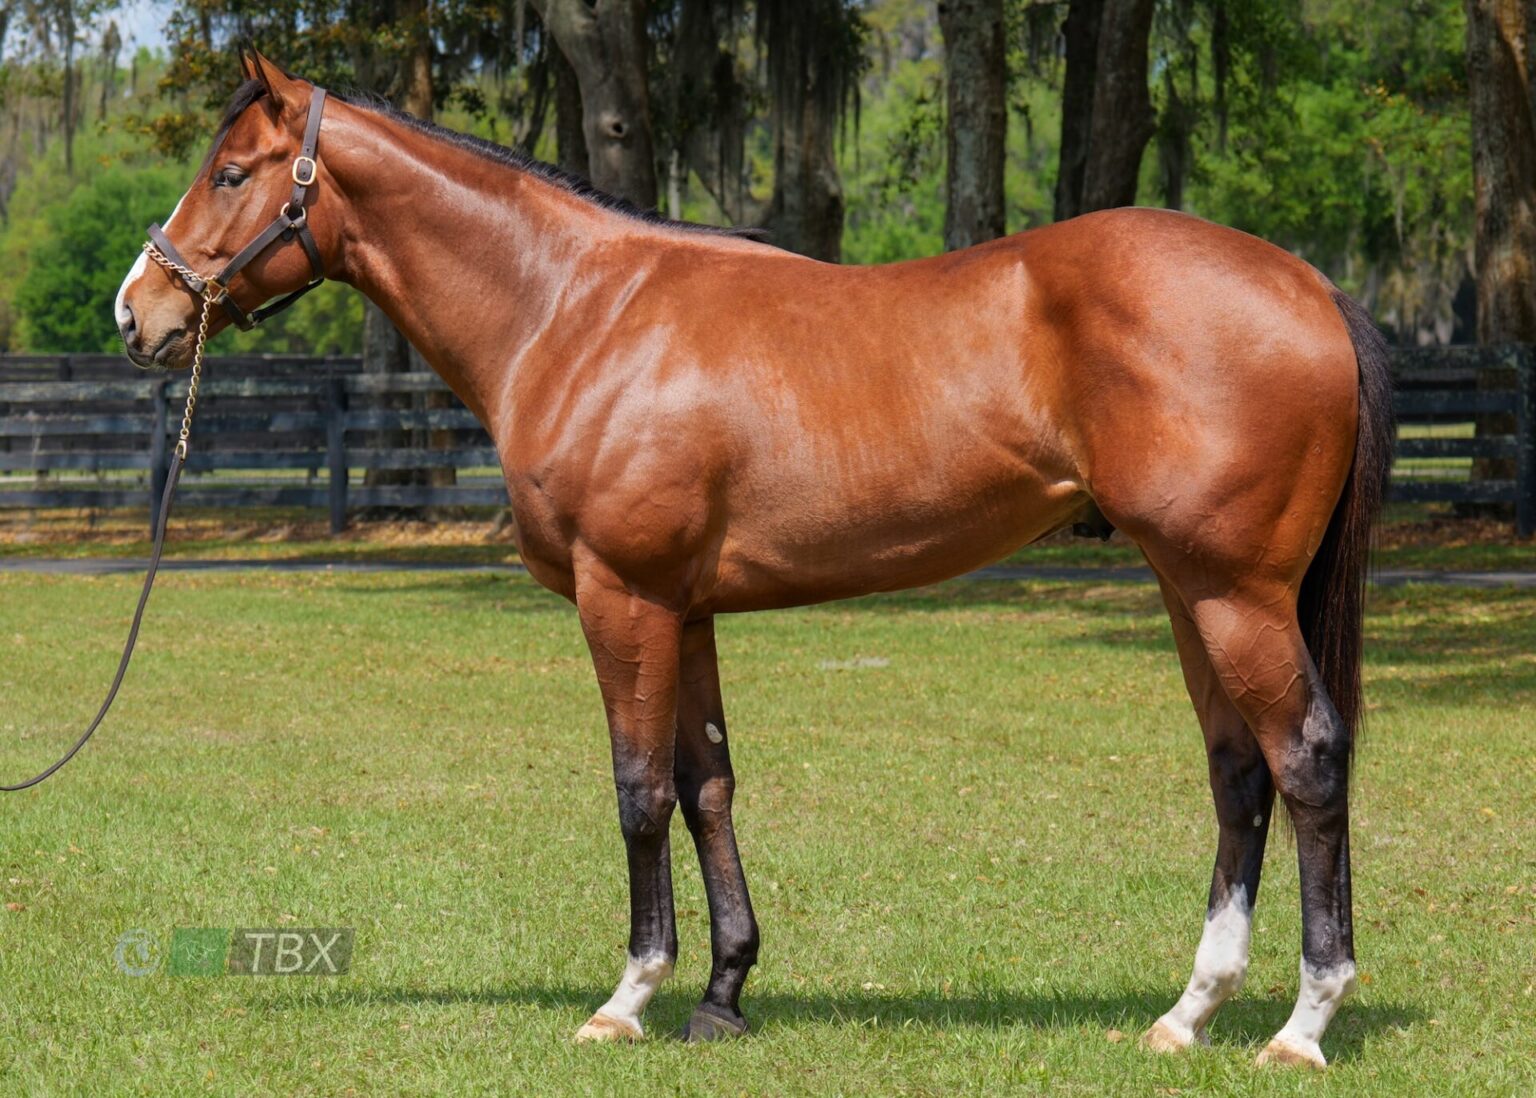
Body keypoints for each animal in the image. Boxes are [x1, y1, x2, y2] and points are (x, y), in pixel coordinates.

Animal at [115, 51, 1393, 1068]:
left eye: (232, 173)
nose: (139, 313)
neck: (575, 311)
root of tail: (1309, 283)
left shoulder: (621, 598)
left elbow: (636, 791)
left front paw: (628, 997)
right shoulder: (686, 610)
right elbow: (707, 786)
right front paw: (724, 992)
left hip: (1234, 594)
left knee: (1307, 759)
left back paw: (1303, 1024)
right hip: (1190, 591)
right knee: (1239, 776)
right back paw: (1190, 1012)